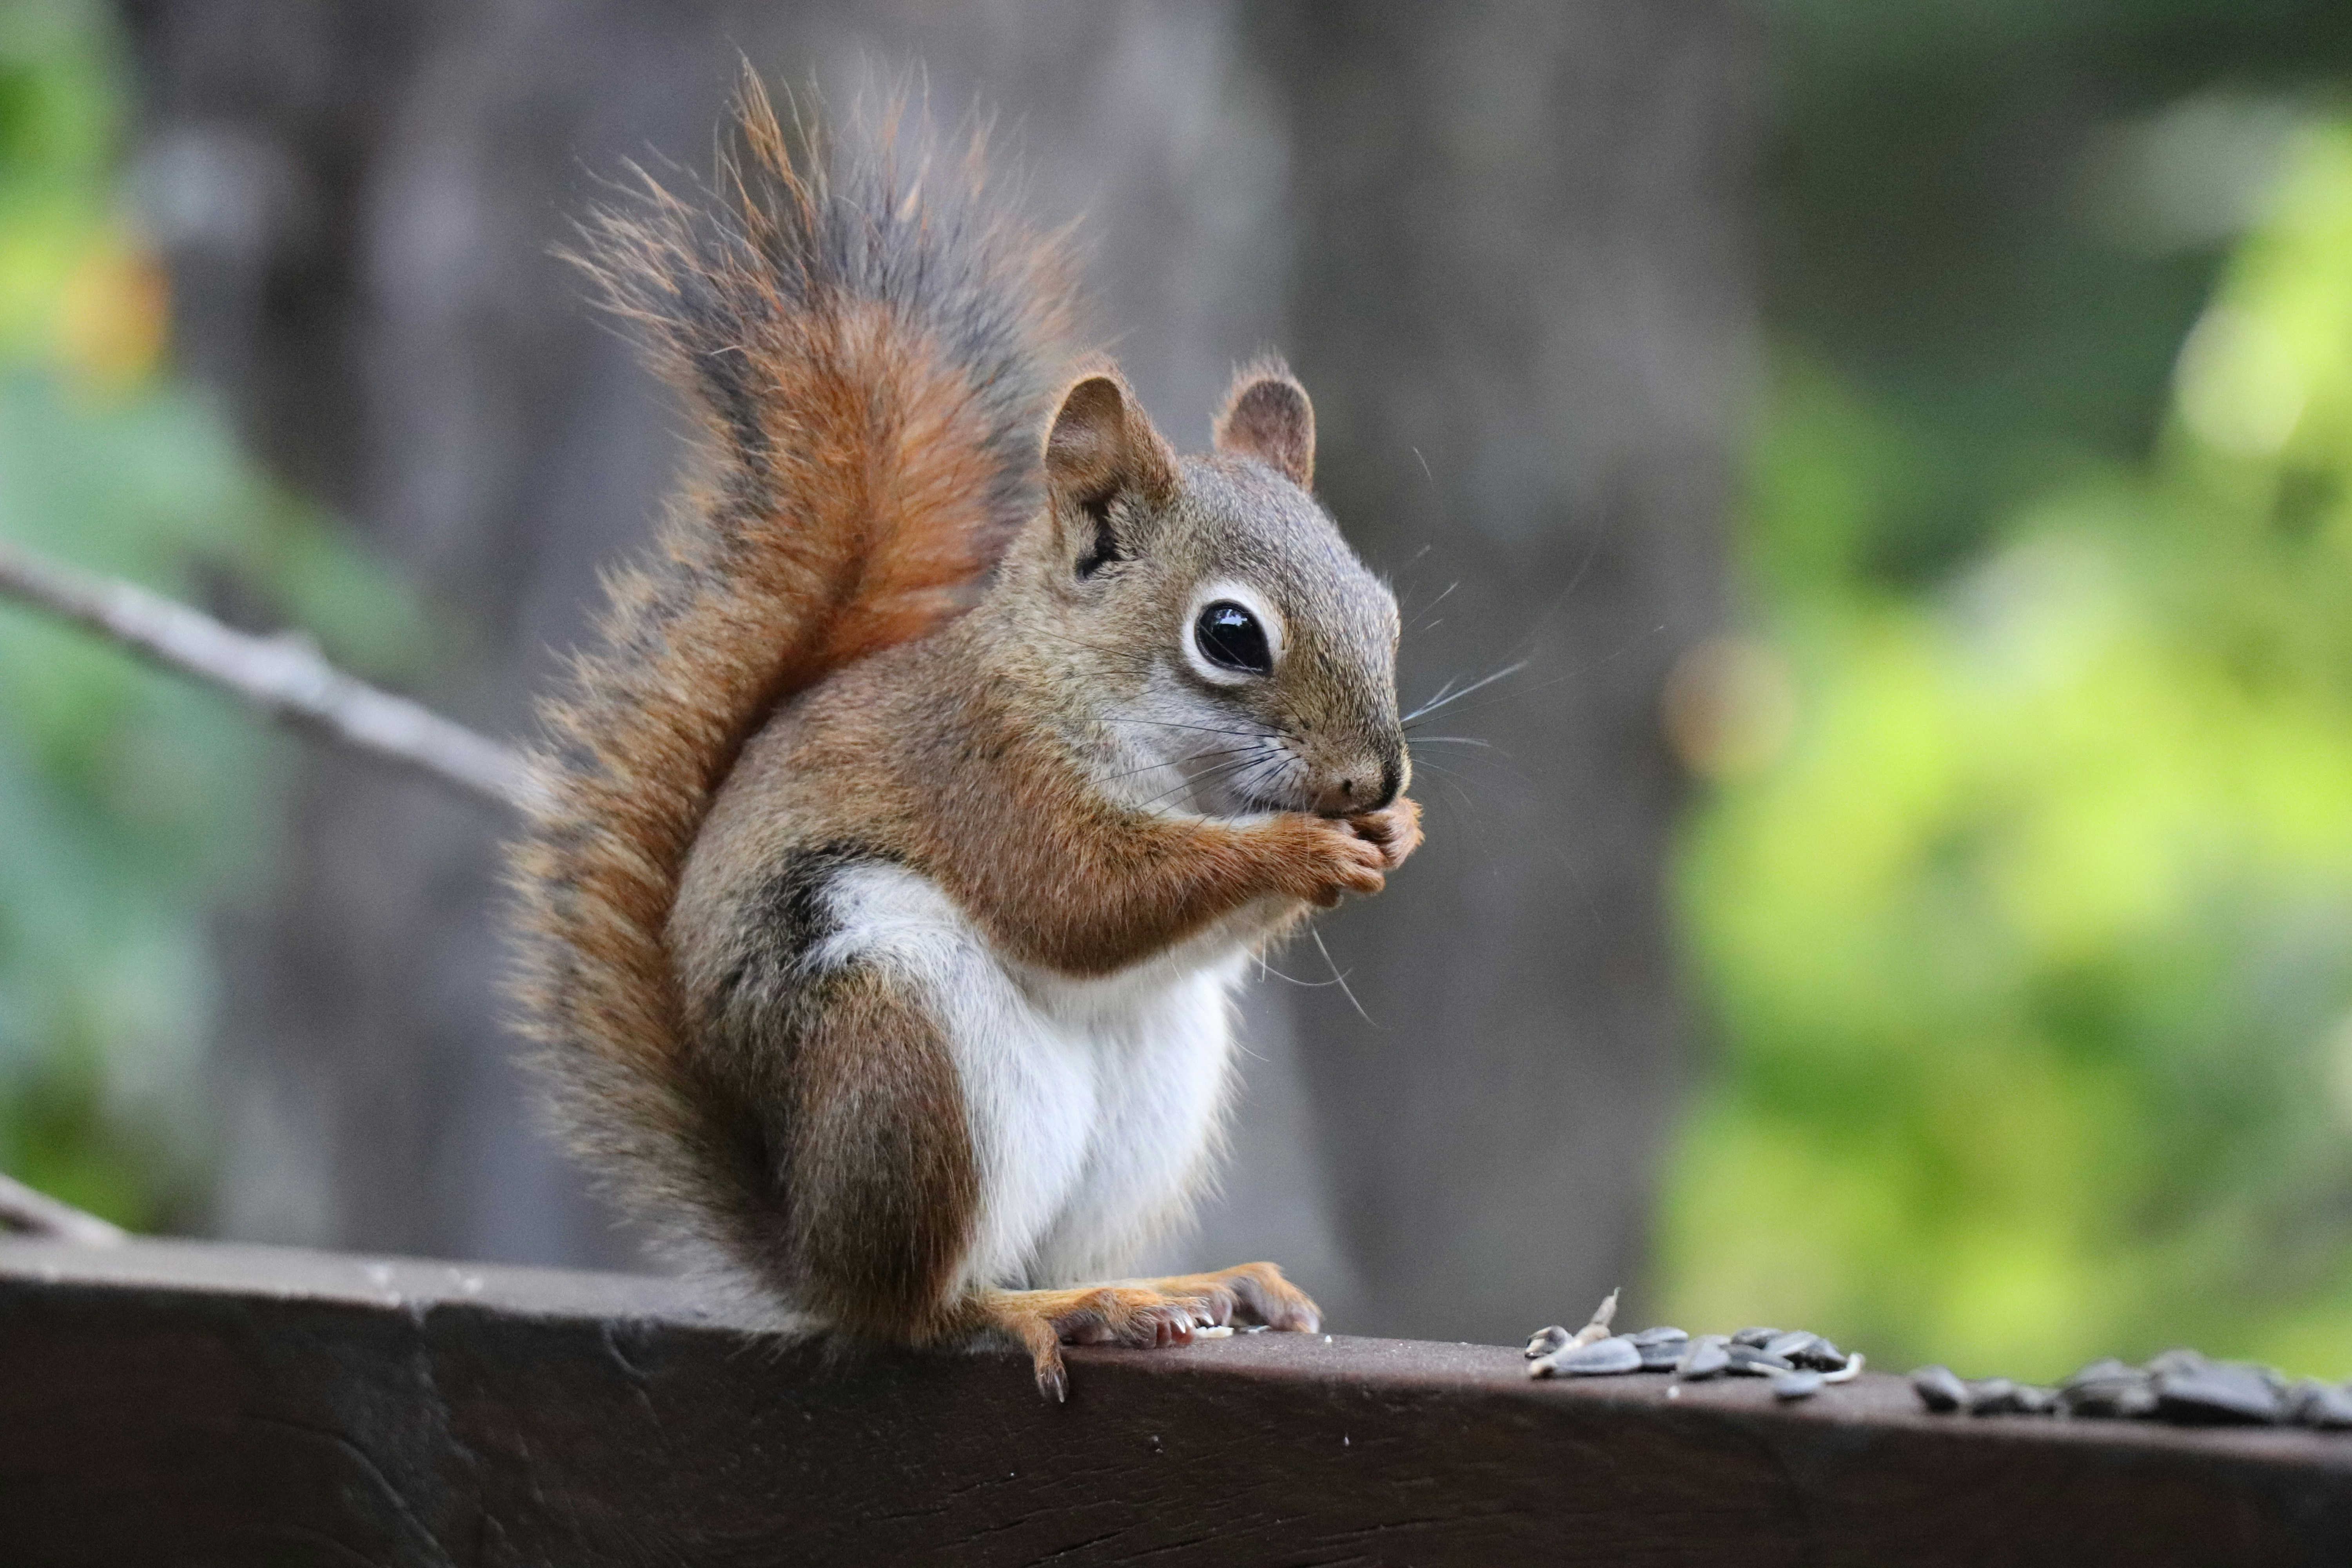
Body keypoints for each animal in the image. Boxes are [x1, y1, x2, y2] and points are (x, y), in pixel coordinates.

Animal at [509, 79, 1420, 1401]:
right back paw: (1050, 1310)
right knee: (921, 1307)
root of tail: (807, 1250)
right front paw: (1303, 851)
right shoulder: (983, 778)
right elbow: (1078, 900)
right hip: (904, 1046)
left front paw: (1394, 831)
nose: (1374, 775)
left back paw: (1181, 1286)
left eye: (1385, 609)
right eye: (1231, 635)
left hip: (1158, 1081)